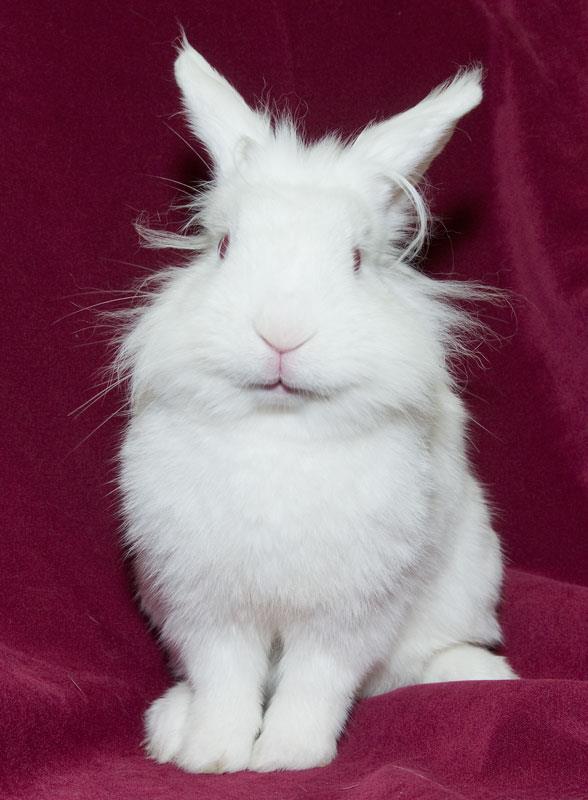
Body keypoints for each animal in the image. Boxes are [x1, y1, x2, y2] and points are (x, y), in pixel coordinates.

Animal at [118, 38, 517, 774]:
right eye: (224, 247)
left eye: (357, 259)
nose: (282, 333)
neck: (280, 428)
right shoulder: (206, 607)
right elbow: (225, 680)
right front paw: (212, 754)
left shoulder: (351, 612)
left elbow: (316, 682)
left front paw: (287, 756)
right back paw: (171, 721)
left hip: (466, 581)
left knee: (415, 663)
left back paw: (478, 674)